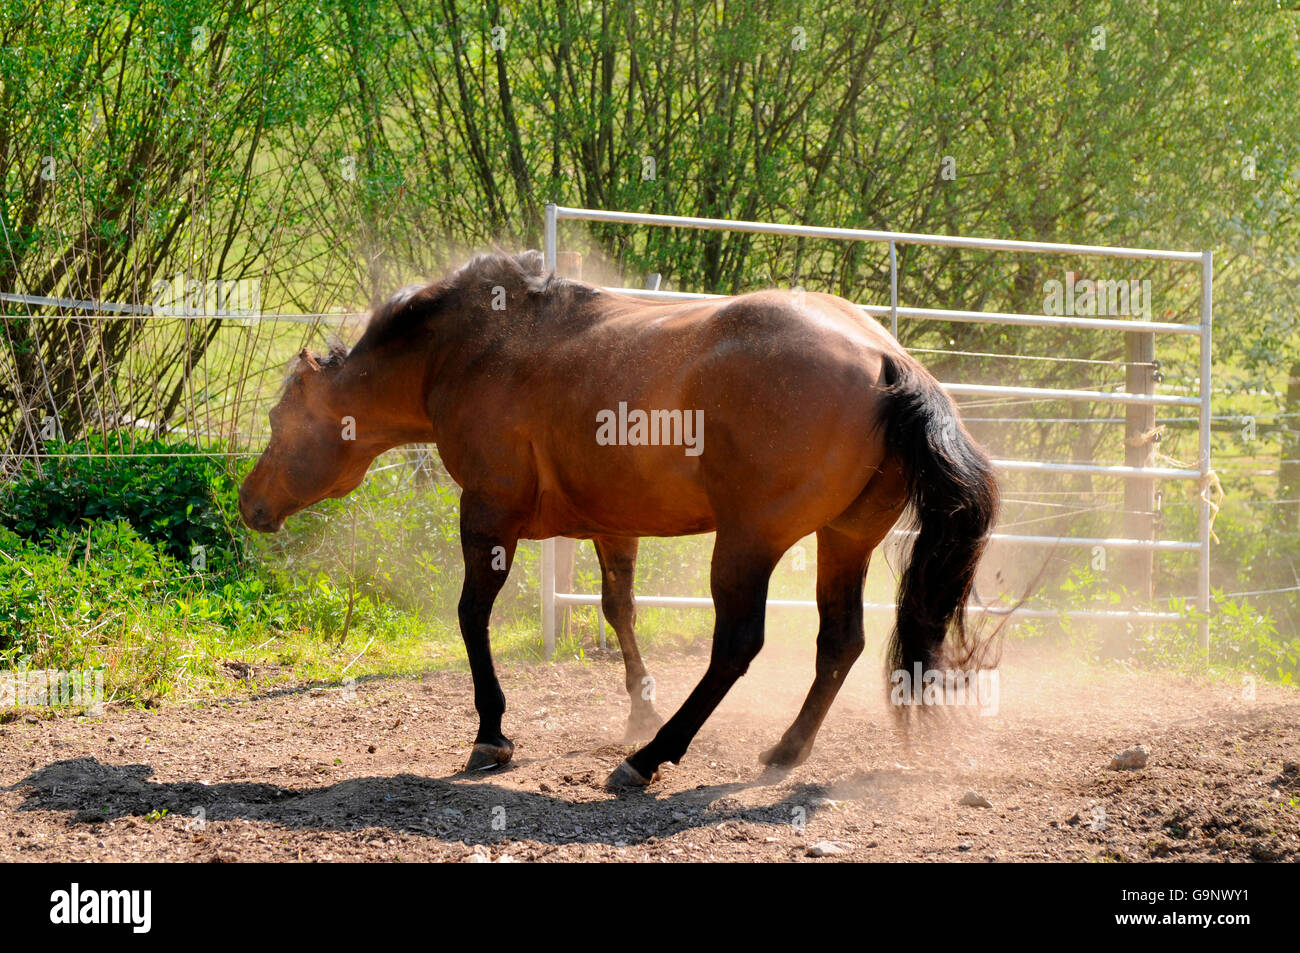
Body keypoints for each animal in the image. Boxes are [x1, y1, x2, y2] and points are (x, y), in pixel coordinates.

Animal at [238, 251, 999, 789]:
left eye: (278, 421)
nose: (249, 503)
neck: (470, 347)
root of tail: (887, 358)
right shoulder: (612, 524)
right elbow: (619, 611)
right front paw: (637, 707)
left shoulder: (488, 514)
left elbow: (471, 616)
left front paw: (492, 733)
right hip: (844, 540)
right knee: (839, 643)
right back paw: (783, 750)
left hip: (748, 543)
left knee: (737, 646)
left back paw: (651, 758)